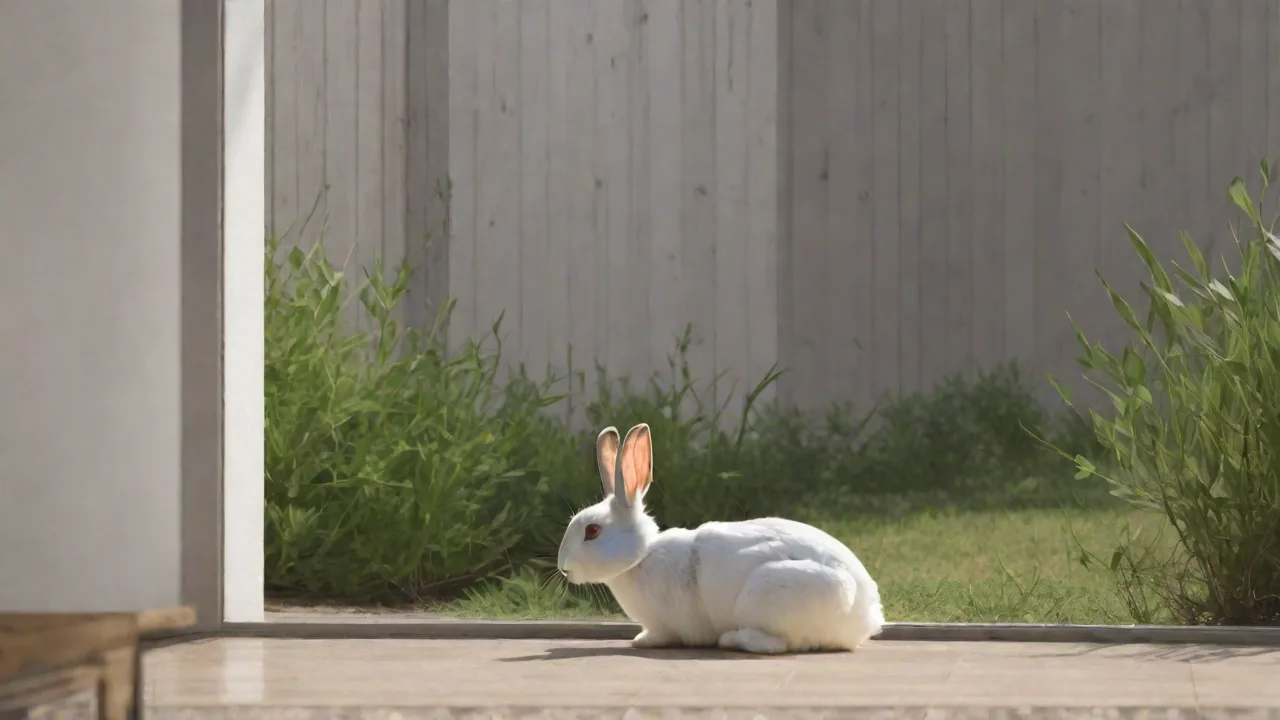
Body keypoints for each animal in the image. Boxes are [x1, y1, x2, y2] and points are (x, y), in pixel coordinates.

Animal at [556, 422, 885, 654]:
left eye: (592, 531)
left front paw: (642, 641)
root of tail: (867, 614)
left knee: (778, 644)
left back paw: (731, 639)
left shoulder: (665, 625)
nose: (564, 568)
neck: (642, 557)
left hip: (768, 595)